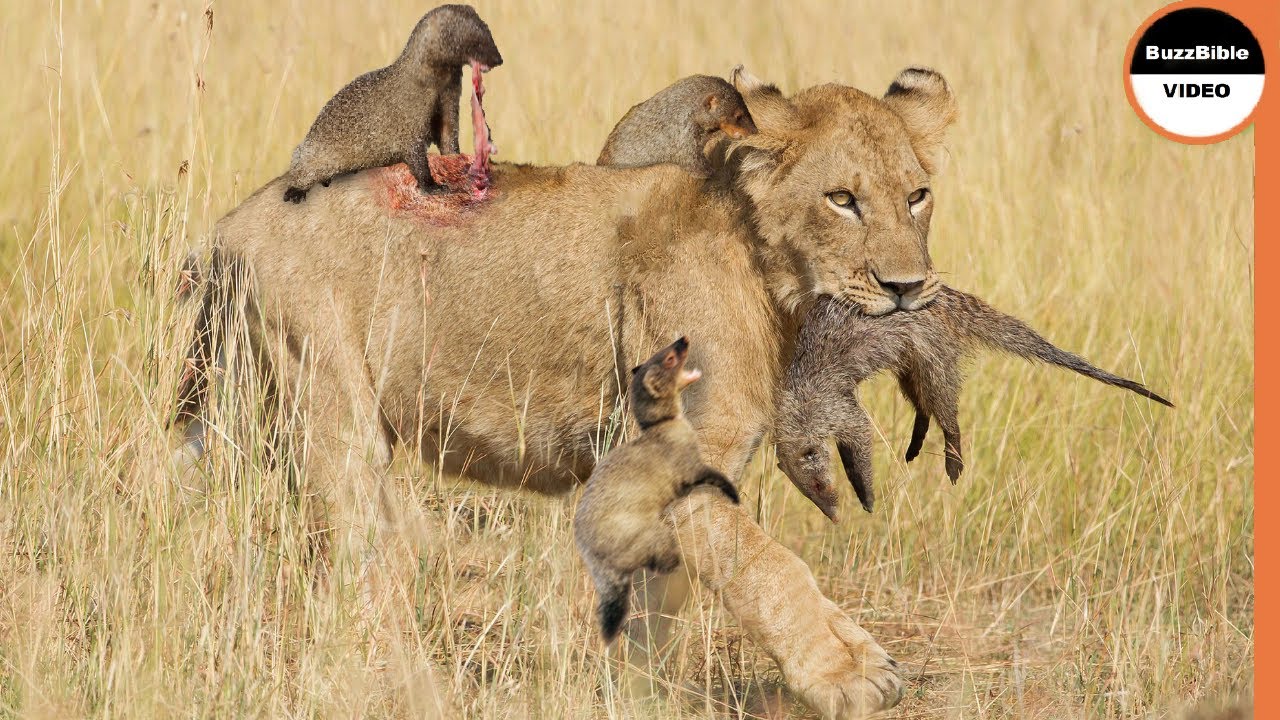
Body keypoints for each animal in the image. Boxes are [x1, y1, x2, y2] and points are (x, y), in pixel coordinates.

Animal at [175, 65, 957, 719]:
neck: (770, 272)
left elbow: (662, 604)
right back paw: (402, 684)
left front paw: (643, 695)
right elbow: (766, 566)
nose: (908, 287)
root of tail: (230, 224)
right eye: (842, 200)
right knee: (361, 564)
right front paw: (850, 673)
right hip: (333, 406)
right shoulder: (680, 450)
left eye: (917, 196)